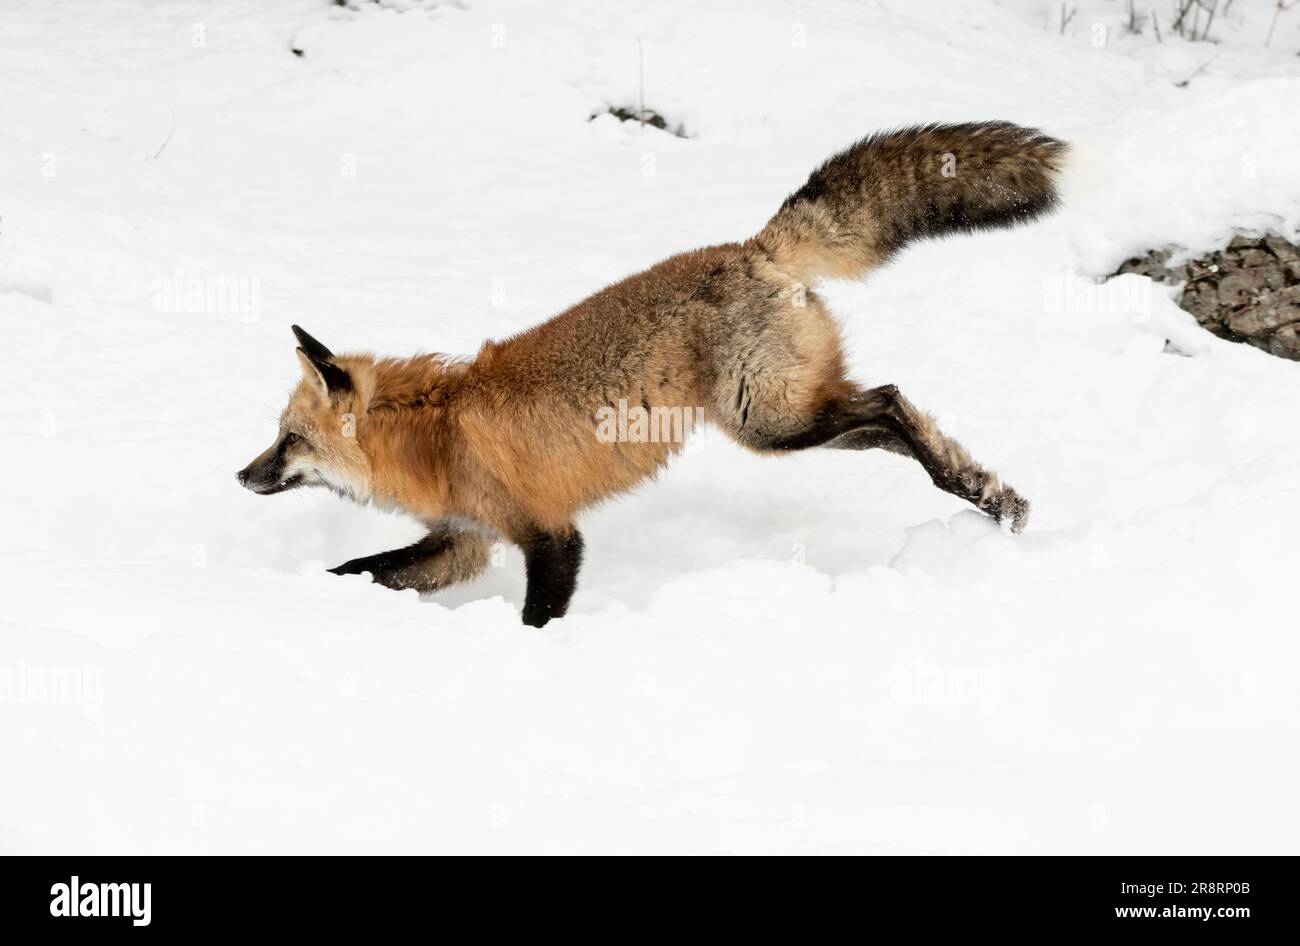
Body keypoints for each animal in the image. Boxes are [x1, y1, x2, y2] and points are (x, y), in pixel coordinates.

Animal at [238, 122, 1067, 627]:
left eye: (288, 440)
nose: (241, 477)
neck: (433, 433)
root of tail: (753, 246)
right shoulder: (464, 541)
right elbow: (358, 568)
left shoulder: (550, 533)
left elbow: (538, 614)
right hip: (795, 421)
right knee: (895, 415)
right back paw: (992, 497)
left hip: (772, 424)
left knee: (890, 402)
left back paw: (977, 492)